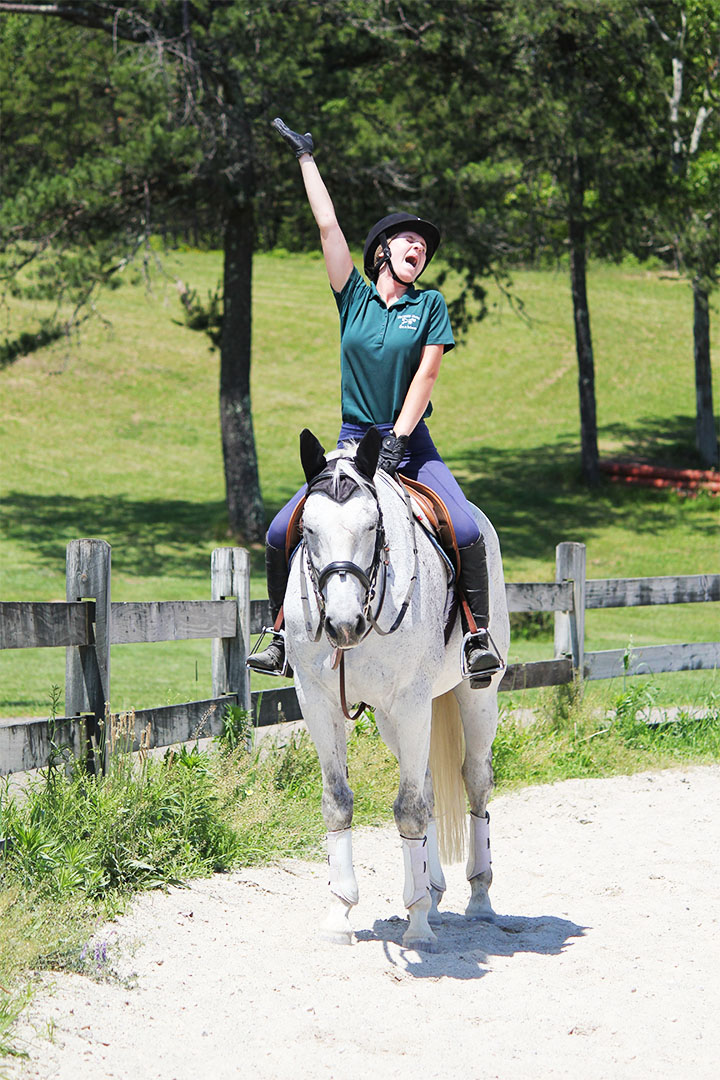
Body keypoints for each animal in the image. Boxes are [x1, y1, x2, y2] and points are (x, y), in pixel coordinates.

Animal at [283, 426, 510, 952]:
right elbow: (339, 802)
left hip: (474, 697)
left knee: (474, 782)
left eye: (372, 527)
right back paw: (431, 889)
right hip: (391, 717)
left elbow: (408, 810)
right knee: (427, 786)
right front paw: (340, 912)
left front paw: (419, 925)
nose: (343, 624)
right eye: (308, 530)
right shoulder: (318, 701)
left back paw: (478, 898)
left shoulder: (411, 702)